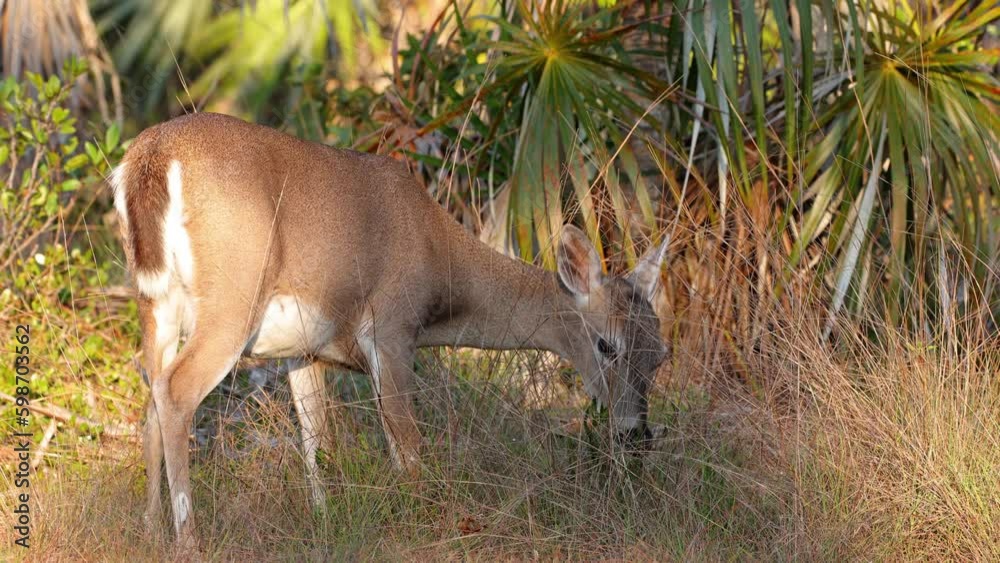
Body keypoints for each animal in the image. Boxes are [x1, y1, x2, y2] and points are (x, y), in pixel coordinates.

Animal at [111, 112, 669, 552]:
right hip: (233, 292)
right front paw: (423, 523)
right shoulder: (393, 328)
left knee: (150, 397)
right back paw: (188, 540)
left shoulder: (305, 350)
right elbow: (408, 445)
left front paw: (325, 521)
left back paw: (150, 529)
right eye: (606, 345)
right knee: (176, 391)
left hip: (155, 301)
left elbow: (318, 444)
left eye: (660, 354)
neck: (441, 266)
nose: (635, 433)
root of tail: (149, 158)